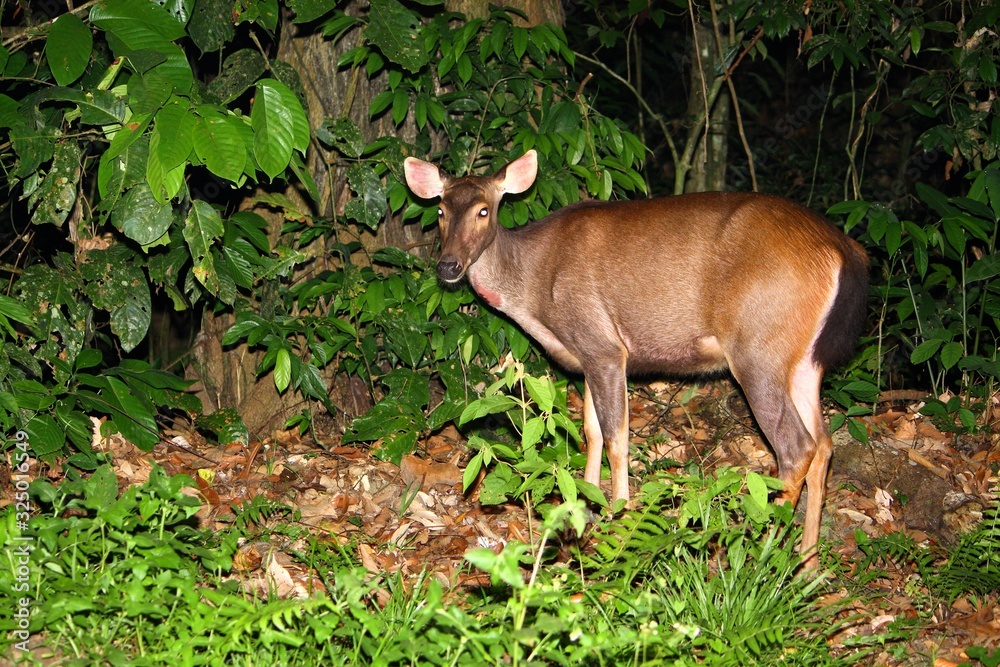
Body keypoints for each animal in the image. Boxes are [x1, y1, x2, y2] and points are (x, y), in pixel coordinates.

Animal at [403, 149, 868, 567]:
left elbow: (616, 436)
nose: (448, 265)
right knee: (824, 444)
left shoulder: (604, 345)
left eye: (484, 210)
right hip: (804, 359)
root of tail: (842, 251)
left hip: (758, 347)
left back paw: (765, 557)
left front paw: (617, 517)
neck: (534, 291)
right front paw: (582, 512)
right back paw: (808, 565)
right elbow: (590, 432)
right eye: (441, 209)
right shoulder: (586, 355)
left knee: (797, 447)